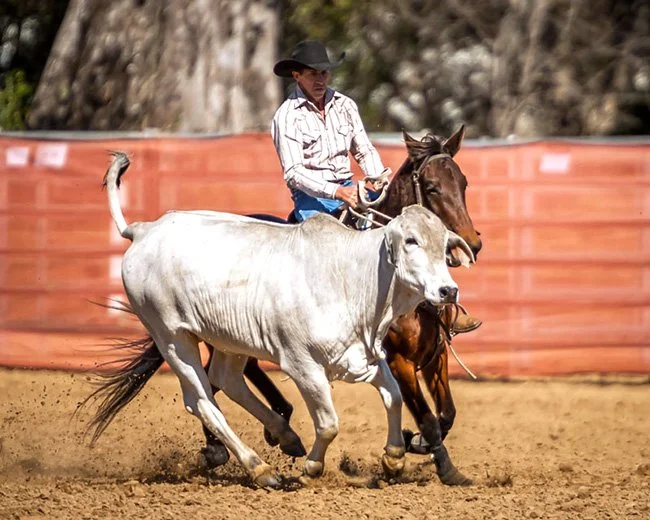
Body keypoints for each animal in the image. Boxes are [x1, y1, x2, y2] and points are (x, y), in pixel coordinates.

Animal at [201, 125, 482, 486]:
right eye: (432, 187)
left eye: (463, 183)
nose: (472, 244)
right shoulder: (399, 361)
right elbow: (429, 419)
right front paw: (434, 462)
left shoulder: (436, 353)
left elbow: (447, 414)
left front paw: (418, 446)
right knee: (217, 379)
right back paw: (227, 444)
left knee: (224, 376)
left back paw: (273, 429)